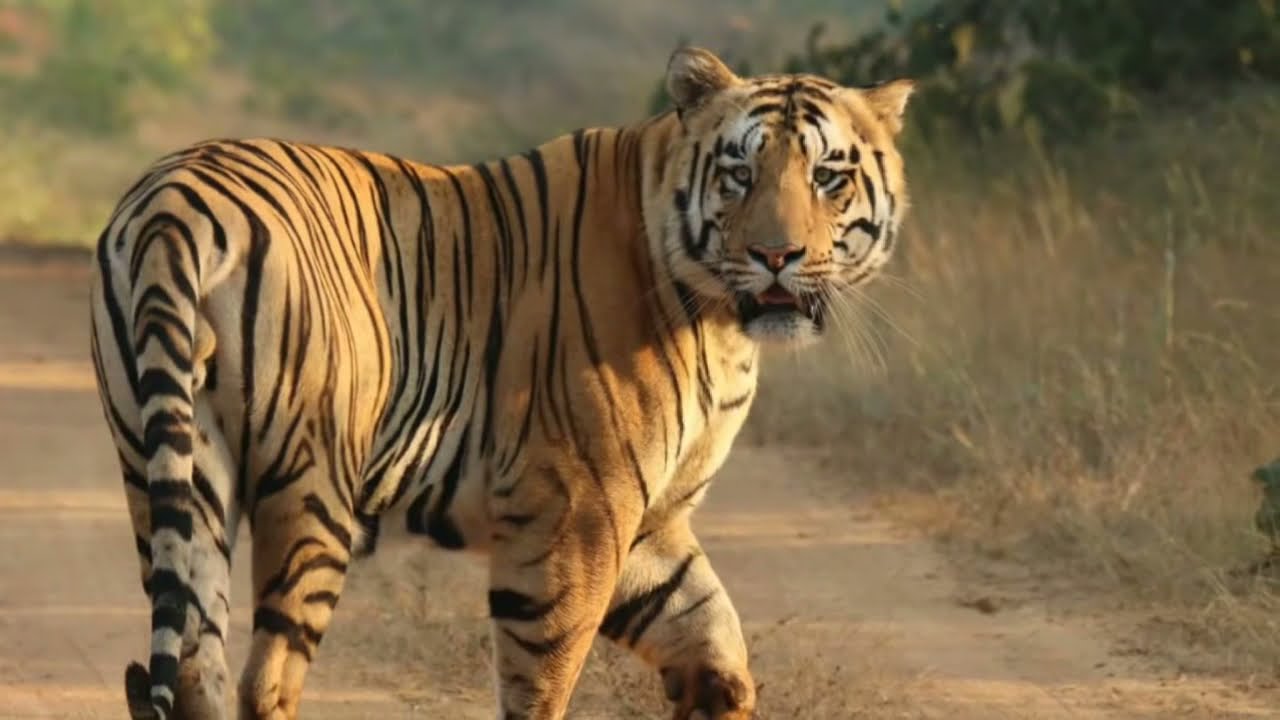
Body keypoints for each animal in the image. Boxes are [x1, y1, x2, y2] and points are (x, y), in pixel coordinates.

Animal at [88, 46, 914, 719]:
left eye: (828, 177)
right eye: (740, 173)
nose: (777, 256)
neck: (717, 317)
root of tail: (171, 205)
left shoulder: (649, 523)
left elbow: (715, 648)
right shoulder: (578, 512)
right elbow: (543, 681)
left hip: (175, 466)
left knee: (195, 664)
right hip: (313, 484)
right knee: (265, 679)